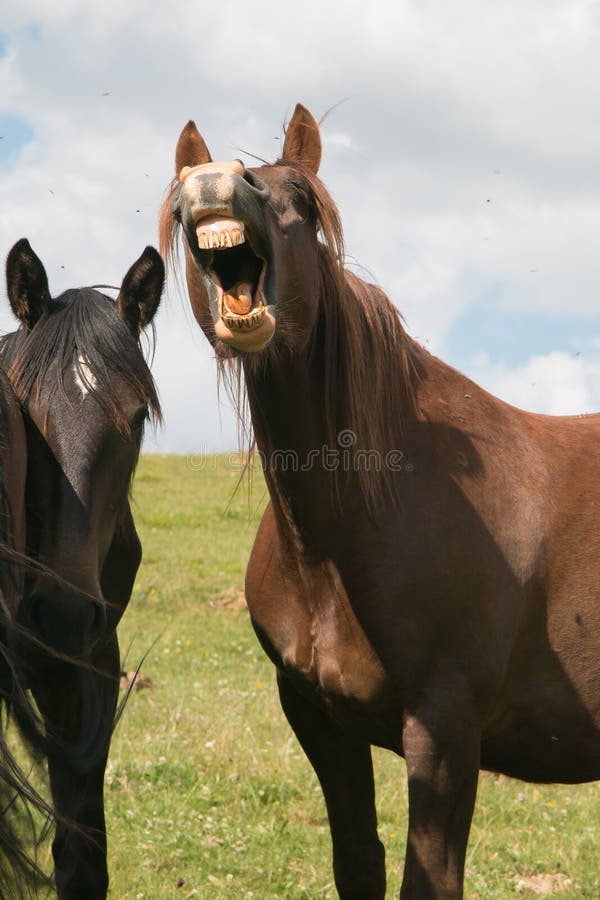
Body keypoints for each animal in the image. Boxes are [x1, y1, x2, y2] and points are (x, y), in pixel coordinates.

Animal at [161, 103, 600, 899]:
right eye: (180, 211)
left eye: (301, 201)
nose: (213, 181)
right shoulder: (320, 721)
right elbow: (358, 862)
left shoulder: (444, 731)